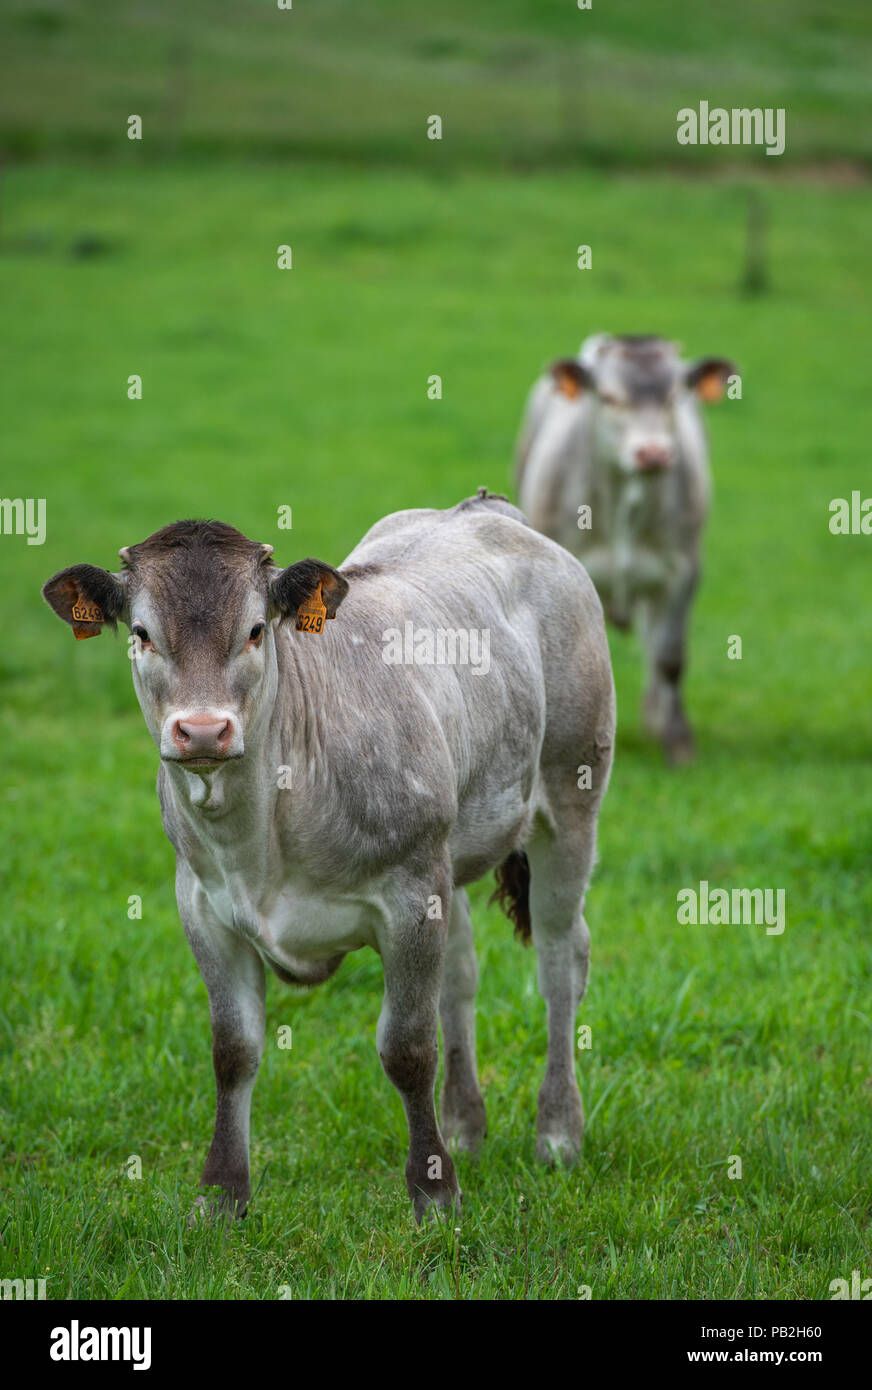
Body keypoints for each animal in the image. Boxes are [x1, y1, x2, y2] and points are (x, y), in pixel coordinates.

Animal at [42, 490, 615, 1224]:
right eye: (141, 633)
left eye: (257, 630)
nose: (203, 730)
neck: (263, 835)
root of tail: (485, 510)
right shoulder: (203, 908)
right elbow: (233, 1050)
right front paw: (222, 1194)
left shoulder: (409, 895)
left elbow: (407, 1047)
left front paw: (434, 1191)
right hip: (451, 851)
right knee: (460, 975)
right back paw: (464, 1127)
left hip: (570, 800)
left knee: (560, 961)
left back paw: (558, 1133)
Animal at [516, 333, 736, 763]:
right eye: (609, 397)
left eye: (674, 397)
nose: (652, 453)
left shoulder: (682, 571)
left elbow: (670, 656)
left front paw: (677, 740)